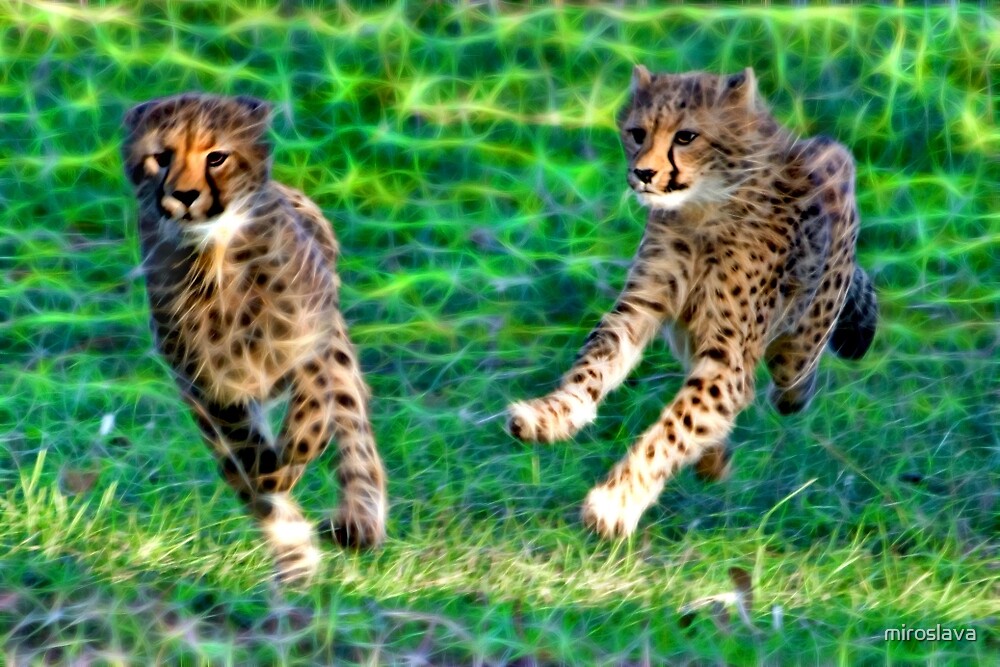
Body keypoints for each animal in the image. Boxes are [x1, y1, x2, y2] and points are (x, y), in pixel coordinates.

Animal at [122, 93, 388, 583]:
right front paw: (270, 477)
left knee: (354, 431)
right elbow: (245, 446)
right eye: (162, 157)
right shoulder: (205, 384)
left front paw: (293, 456)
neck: (214, 257)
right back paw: (295, 560)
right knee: (246, 481)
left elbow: (316, 408)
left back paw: (356, 521)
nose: (184, 196)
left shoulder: (314, 342)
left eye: (217, 157)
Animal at [507, 66, 877, 538]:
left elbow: (676, 424)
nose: (644, 173)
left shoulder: (728, 356)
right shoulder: (639, 310)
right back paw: (713, 460)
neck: (703, 208)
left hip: (797, 345)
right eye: (637, 133)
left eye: (686, 137)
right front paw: (550, 415)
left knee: (791, 381)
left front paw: (616, 501)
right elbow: (594, 366)